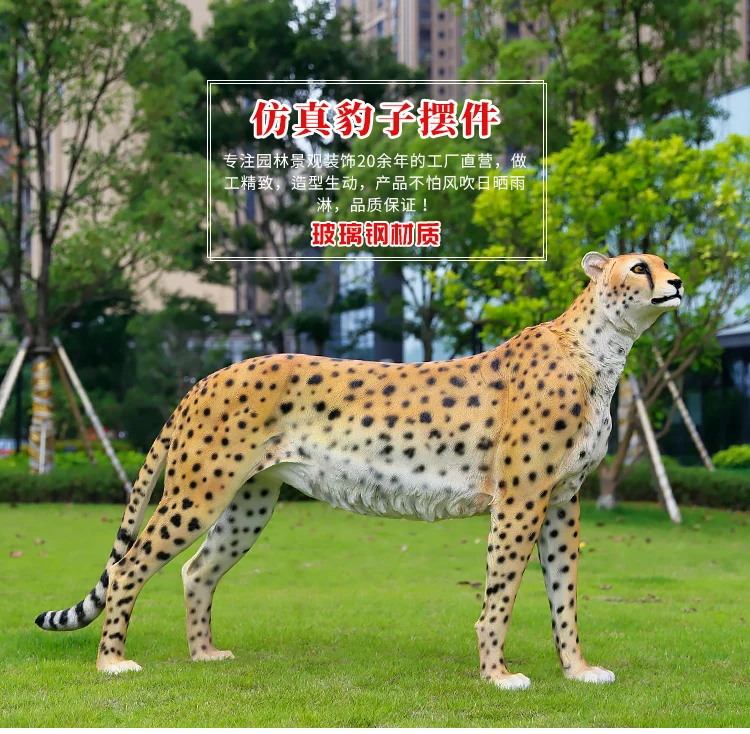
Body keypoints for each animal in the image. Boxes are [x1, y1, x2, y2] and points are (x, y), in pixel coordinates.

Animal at [35, 251, 683, 689]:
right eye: (639, 268)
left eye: (665, 263)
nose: (677, 284)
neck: (598, 351)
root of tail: (208, 376)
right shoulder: (522, 500)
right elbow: (502, 592)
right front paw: (497, 673)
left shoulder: (562, 501)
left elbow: (563, 593)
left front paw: (577, 668)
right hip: (198, 494)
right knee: (130, 567)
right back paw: (112, 661)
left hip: (248, 502)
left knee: (198, 569)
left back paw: (204, 655)